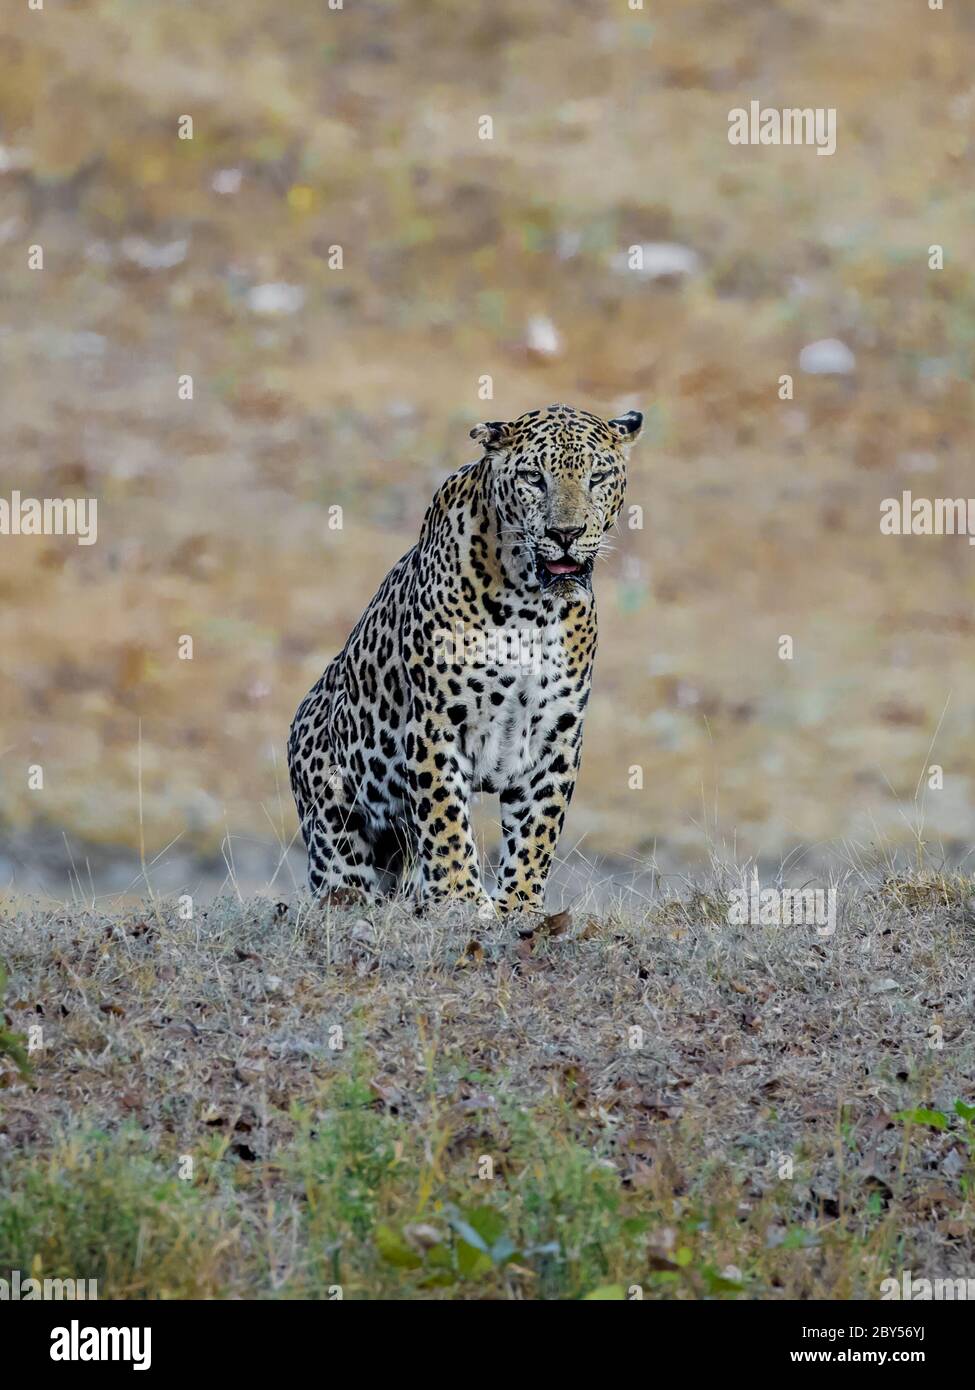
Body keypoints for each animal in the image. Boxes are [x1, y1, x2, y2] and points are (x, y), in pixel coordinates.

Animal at [288, 402, 643, 919]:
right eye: (534, 478)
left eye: (597, 477)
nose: (566, 533)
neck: (531, 607)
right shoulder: (436, 723)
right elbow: (445, 816)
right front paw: (459, 897)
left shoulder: (556, 736)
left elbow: (537, 828)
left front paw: (519, 904)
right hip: (335, 816)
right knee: (344, 873)